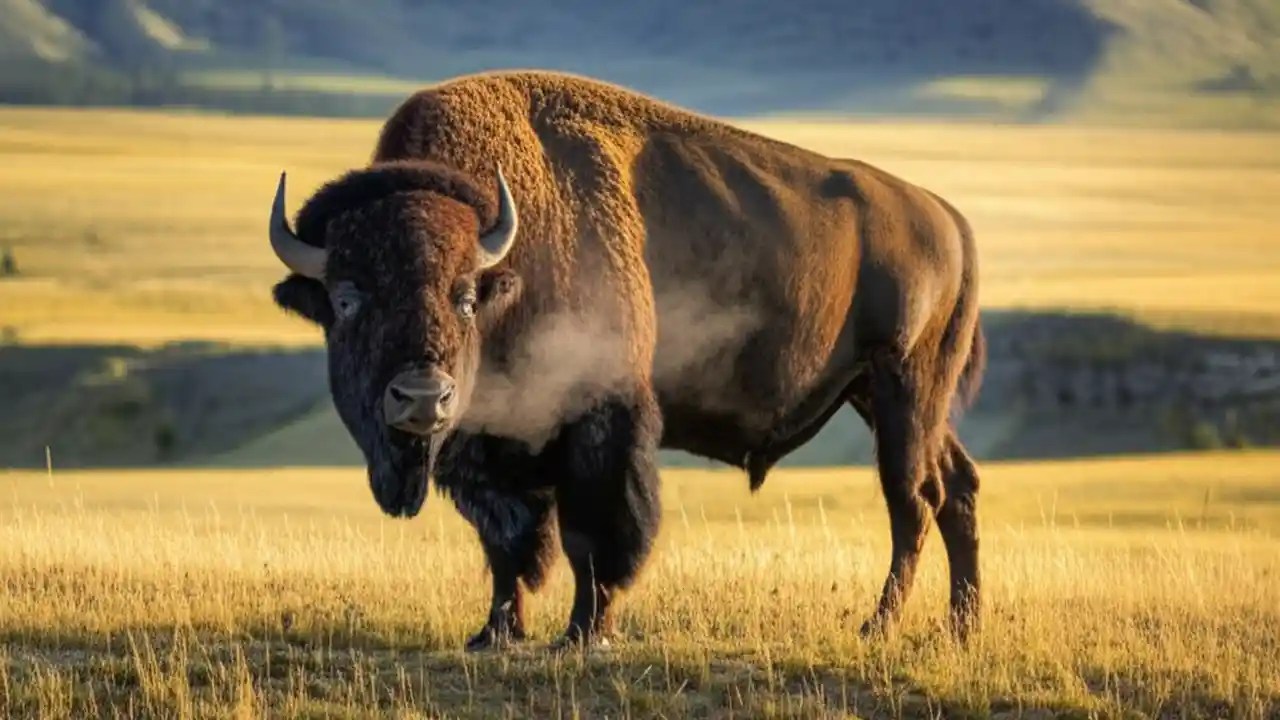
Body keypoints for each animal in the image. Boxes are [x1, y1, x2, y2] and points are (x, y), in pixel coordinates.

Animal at [267, 70, 986, 650]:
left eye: (466, 295)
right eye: (347, 297)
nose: (423, 397)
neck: (514, 260)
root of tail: (948, 219)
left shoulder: (600, 421)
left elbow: (594, 535)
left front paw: (585, 635)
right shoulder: (484, 447)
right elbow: (506, 541)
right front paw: (495, 635)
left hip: (902, 383)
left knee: (913, 499)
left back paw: (879, 626)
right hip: (880, 395)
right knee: (957, 487)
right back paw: (960, 627)